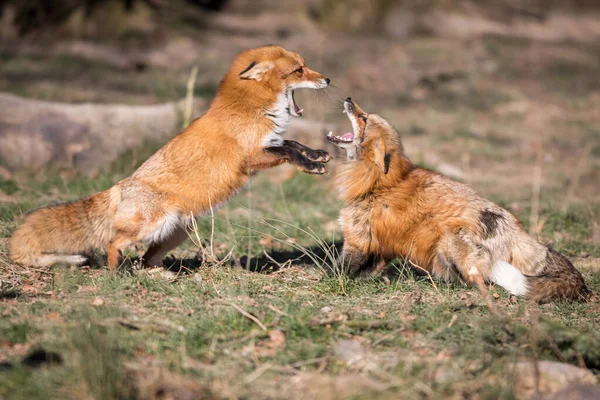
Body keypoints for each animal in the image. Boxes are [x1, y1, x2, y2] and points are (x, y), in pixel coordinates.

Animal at [9, 46, 330, 272]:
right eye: (299, 71)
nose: (328, 79)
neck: (251, 108)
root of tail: (120, 186)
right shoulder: (249, 157)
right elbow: (288, 151)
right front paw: (312, 165)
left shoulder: (268, 144)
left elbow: (292, 142)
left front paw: (316, 155)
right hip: (149, 226)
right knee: (114, 243)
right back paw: (117, 274)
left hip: (177, 233)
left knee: (147, 259)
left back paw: (160, 275)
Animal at [328, 97, 584, 304]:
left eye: (363, 118)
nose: (348, 99)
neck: (377, 182)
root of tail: (520, 233)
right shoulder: (381, 242)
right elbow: (369, 267)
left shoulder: (358, 238)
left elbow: (339, 269)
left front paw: (328, 281)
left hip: (451, 240)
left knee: (481, 281)